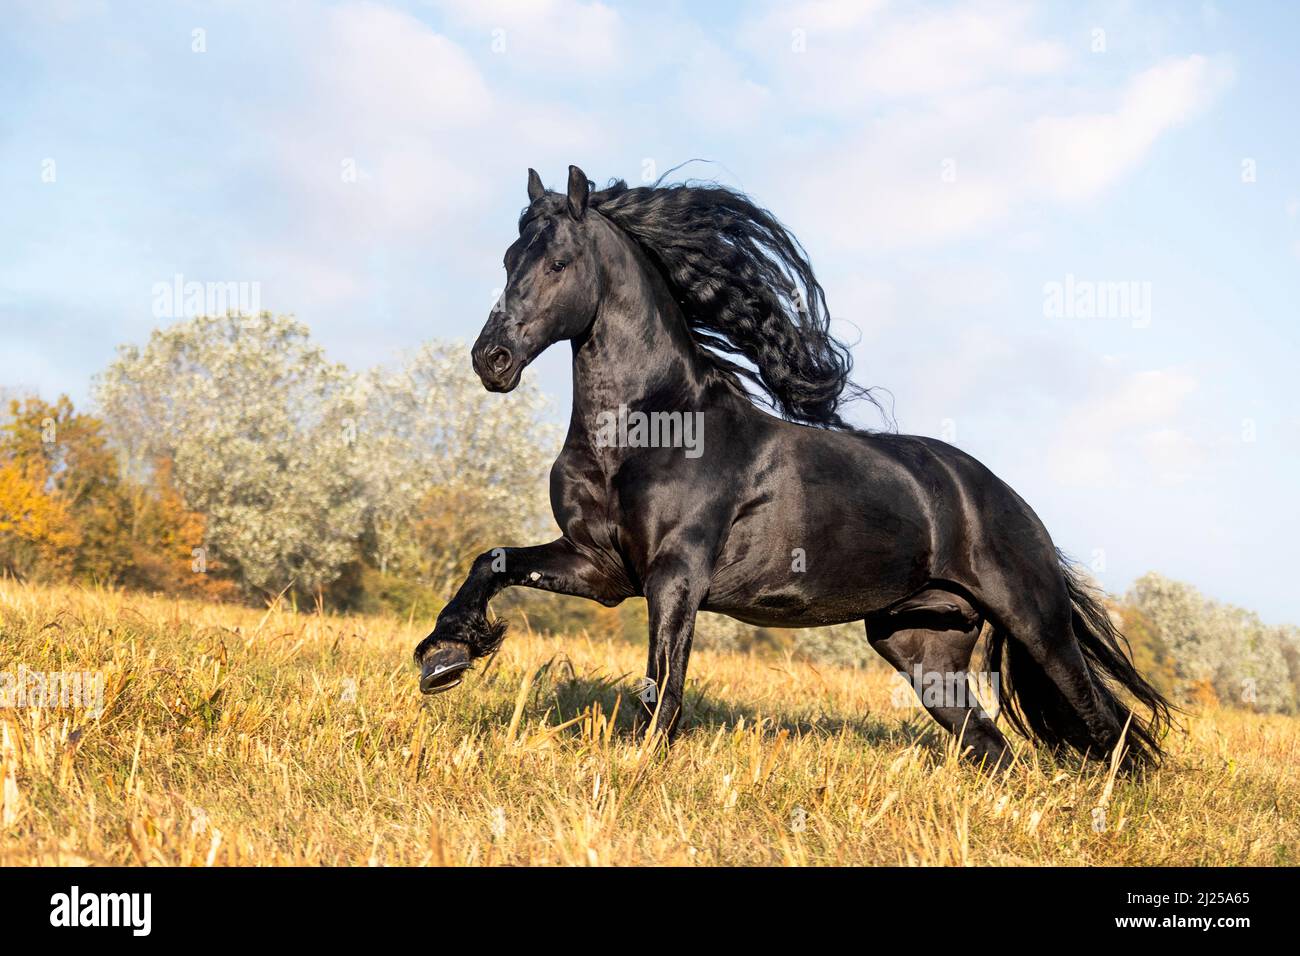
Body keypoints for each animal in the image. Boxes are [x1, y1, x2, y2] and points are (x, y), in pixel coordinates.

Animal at [413, 164, 1174, 769]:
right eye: (509, 257)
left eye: (558, 264)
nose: (491, 361)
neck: (648, 426)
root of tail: (1006, 498)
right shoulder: (601, 568)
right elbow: (492, 561)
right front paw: (444, 656)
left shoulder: (675, 574)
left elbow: (664, 690)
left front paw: (633, 771)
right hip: (921, 645)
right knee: (992, 745)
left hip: (1037, 626)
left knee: (1107, 727)